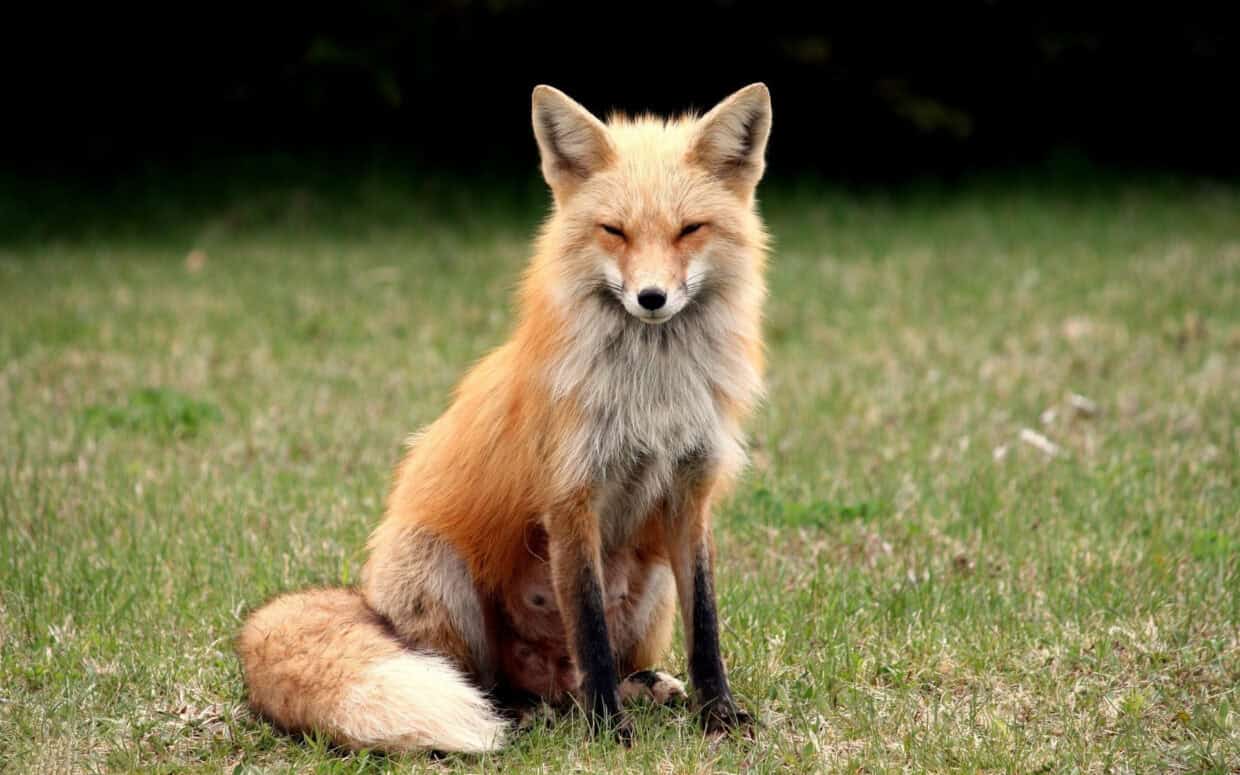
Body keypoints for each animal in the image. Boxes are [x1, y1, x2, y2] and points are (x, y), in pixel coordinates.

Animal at [237, 82, 772, 754]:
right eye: (615, 231)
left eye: (689, 230)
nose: (651, 298)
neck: (652, 395)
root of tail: (368, 600)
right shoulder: (571, 499)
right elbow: (590, 632)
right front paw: (608, 732)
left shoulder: (689, 496)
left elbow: (706, 629)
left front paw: (719, 715)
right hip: (436, 569)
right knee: (489, 682)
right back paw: (522, 713)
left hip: (651, 588)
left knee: (586, 676)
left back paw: (636, 689)